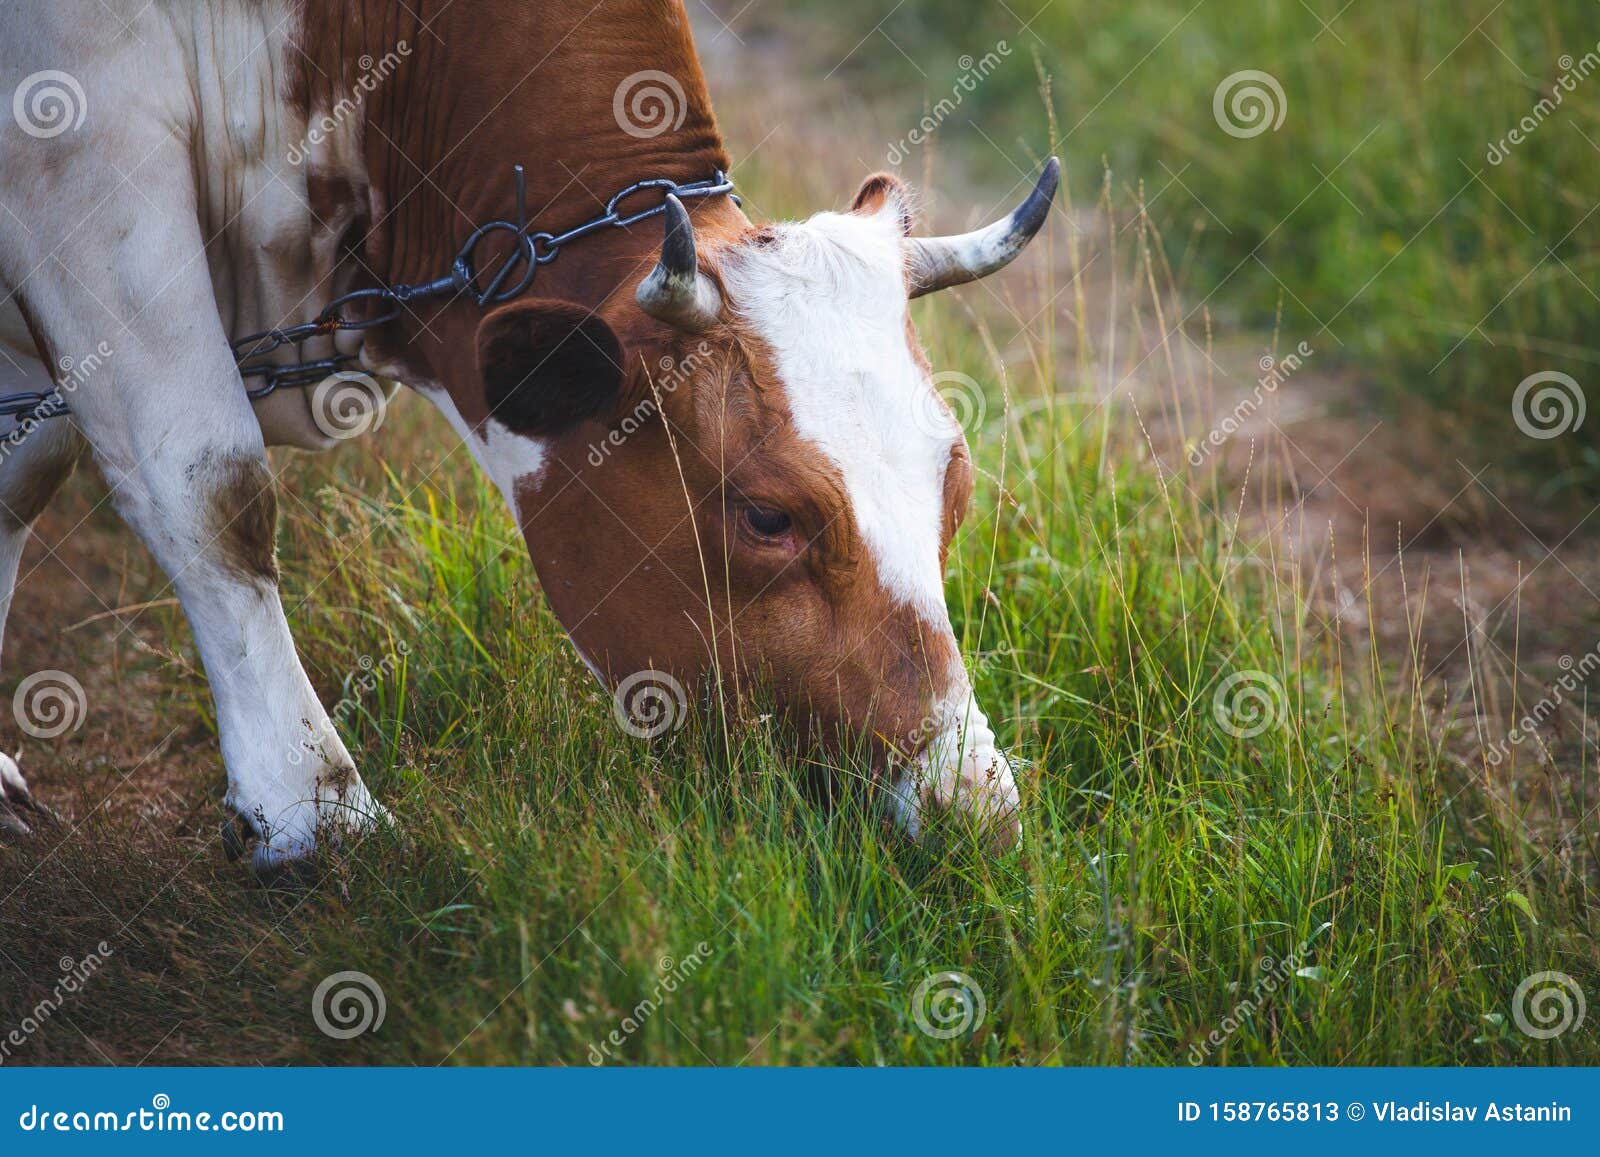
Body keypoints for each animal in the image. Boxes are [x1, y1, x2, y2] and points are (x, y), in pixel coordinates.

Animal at [0, 0, 1056, 872]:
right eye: (768, 516)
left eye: (957, 490)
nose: (978, 812)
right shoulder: (82, 152)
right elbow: (213, 491)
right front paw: (312, 809)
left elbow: (24, 473)